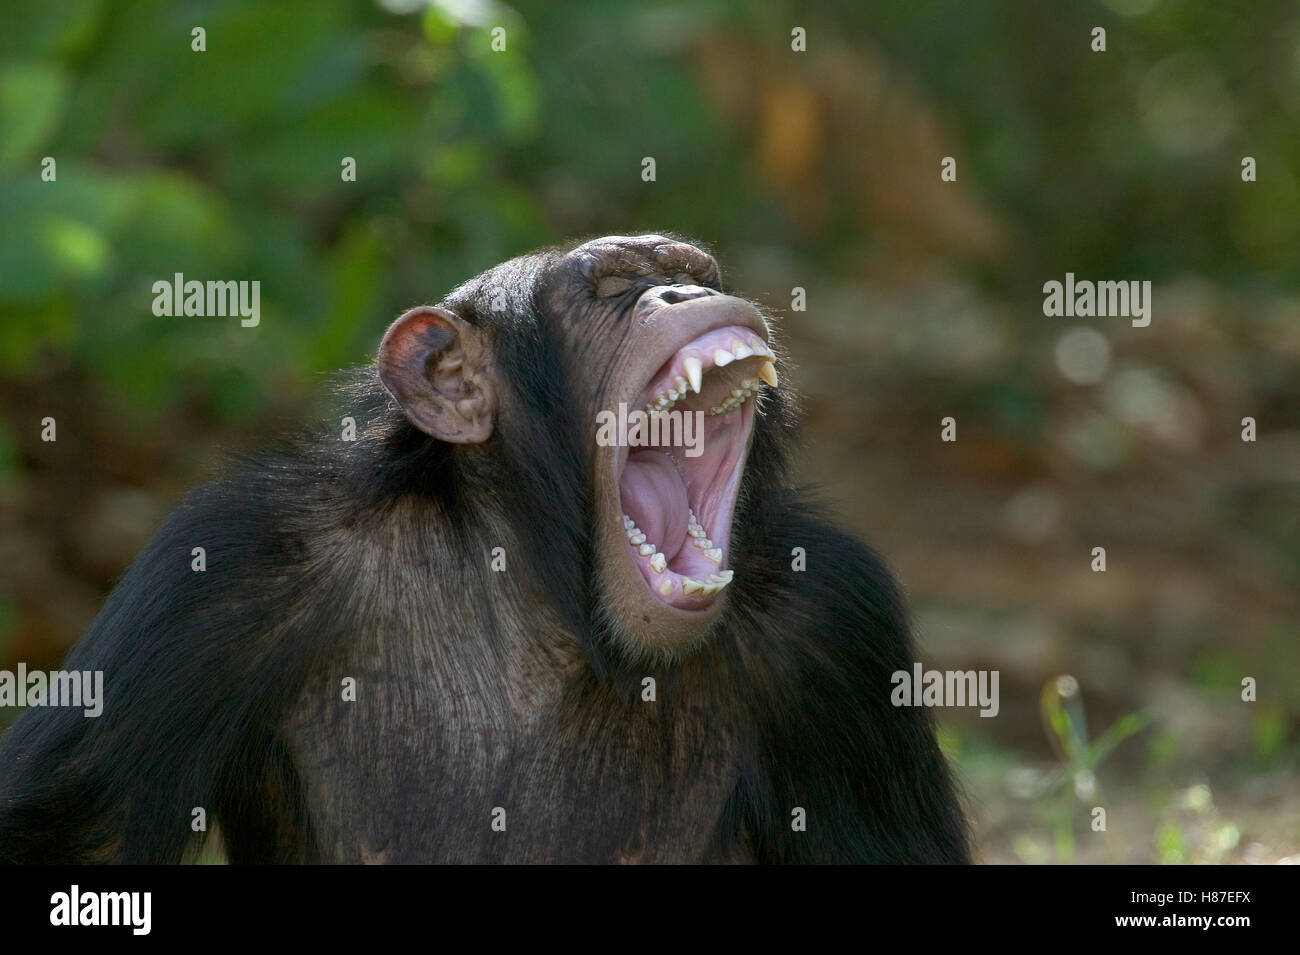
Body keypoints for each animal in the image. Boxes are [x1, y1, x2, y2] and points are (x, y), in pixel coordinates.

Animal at [0, 234, 969, 864]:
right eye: (612, 286)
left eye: (692, 273)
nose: (685, 296)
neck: (540, 609)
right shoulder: (220, 563)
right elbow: (77, 835)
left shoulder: (836, 625)